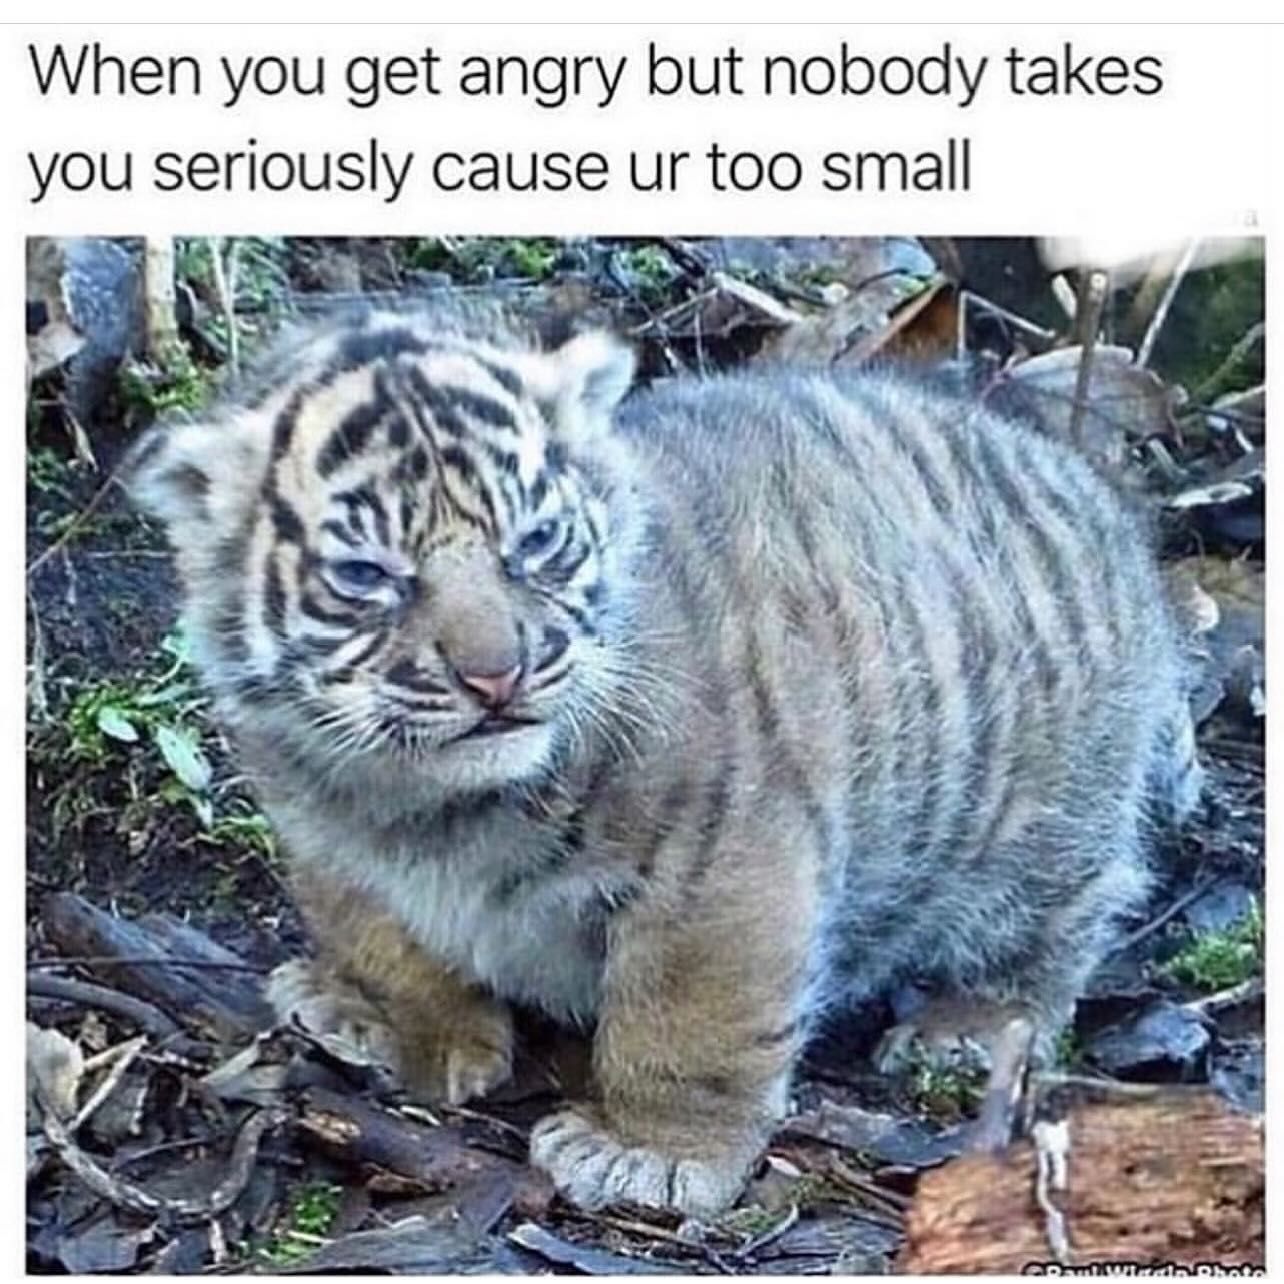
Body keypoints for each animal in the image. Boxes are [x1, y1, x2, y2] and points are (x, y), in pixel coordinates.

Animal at [127, 305, 1201, 1217]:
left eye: (536, 541)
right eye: (367, 575)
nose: (497, 675)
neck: (423, 805)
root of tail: (1108, 513)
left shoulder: (718, 872)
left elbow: (687, 1019)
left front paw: (652, 1156)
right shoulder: (331, 846)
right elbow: (388, 944)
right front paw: (392, 1024)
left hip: (1041, 823)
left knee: (1061, 924)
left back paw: (968, 1029)